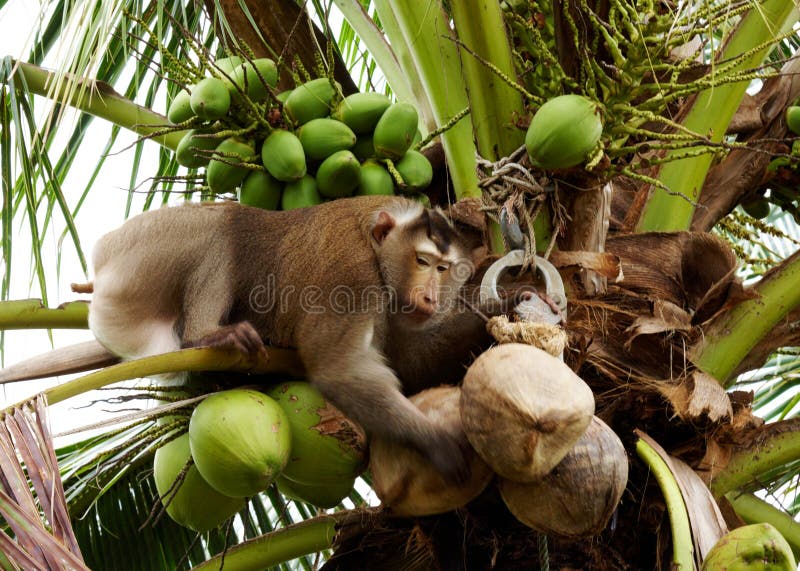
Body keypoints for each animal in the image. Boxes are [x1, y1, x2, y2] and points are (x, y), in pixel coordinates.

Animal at [87, 195, 487, 483]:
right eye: (421, 261)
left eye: (442, 268)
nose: (431, 298)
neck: (376, 246)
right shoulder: (351, 275)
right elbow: (338, 371)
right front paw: (435, 442)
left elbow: (411, 362)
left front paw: (497, 307)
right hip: (138, 254)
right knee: (225, 226)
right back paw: (203, 336)